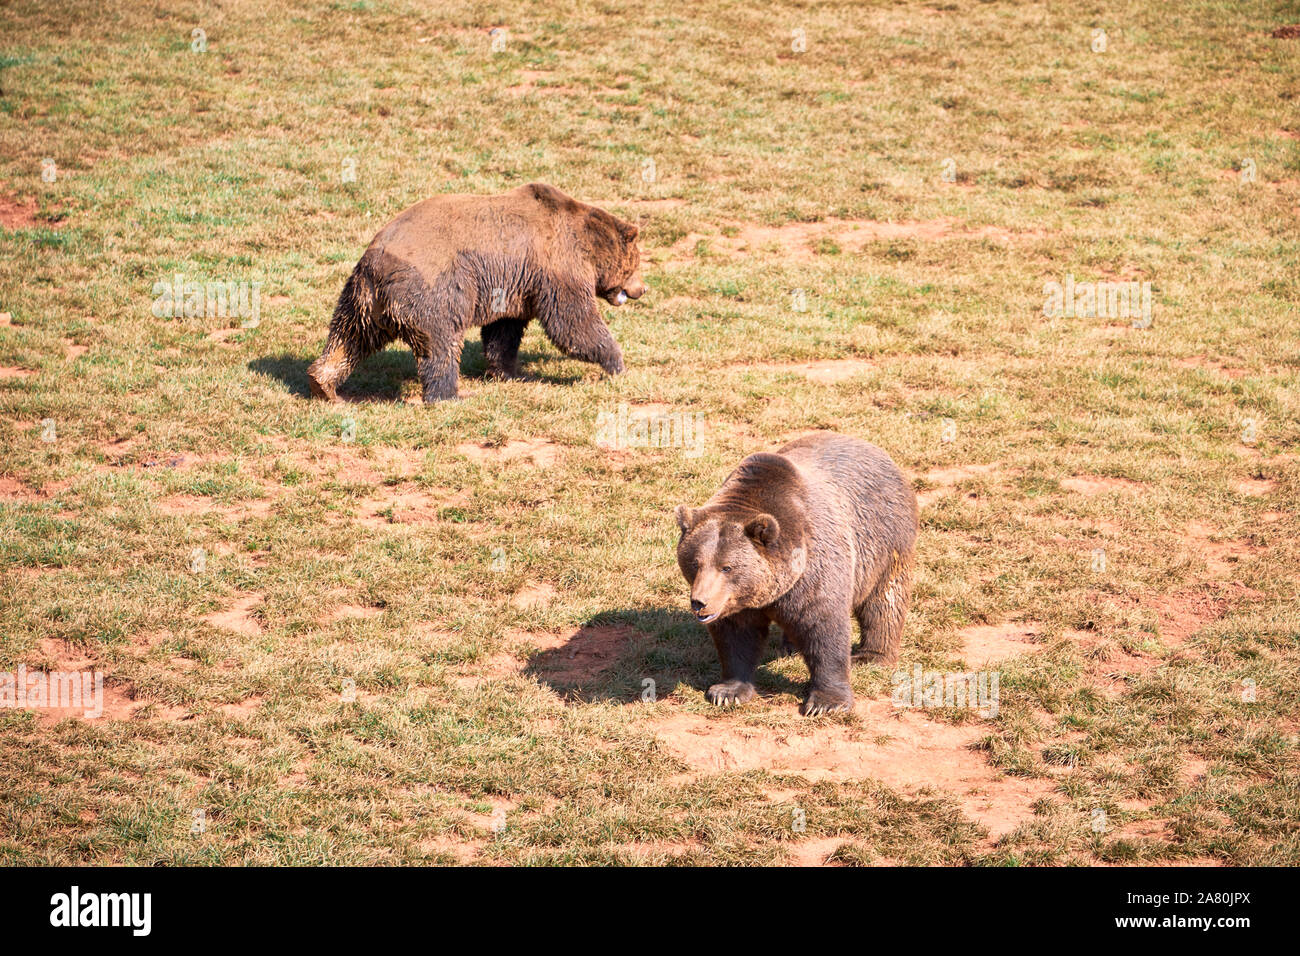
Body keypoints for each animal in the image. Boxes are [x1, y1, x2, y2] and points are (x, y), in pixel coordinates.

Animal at [306, 183, 647, 403]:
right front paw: (617, 363)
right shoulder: (555, 268)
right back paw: (450, 395)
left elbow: (503, 332)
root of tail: (377, 269)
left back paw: (323, 384)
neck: (587, 245)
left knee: (348, 338)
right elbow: (573, 323)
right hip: (434, 290)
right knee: (441, 345)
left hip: (359, 299)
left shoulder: (512, 284)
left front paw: (508, 372)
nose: (642, 289)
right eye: (637, 262)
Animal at [673, 432, 918, 716]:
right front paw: (727, 692)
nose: (700, 602)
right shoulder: (736, 603)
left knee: (884, 600)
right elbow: (736, 637)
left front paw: (825, 702)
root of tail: (874, 448)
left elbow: (824, 628)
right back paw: (790, 646)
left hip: (886, 538)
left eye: (727, 567)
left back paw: (872, 656)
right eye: (694, 563)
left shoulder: (815, 569)